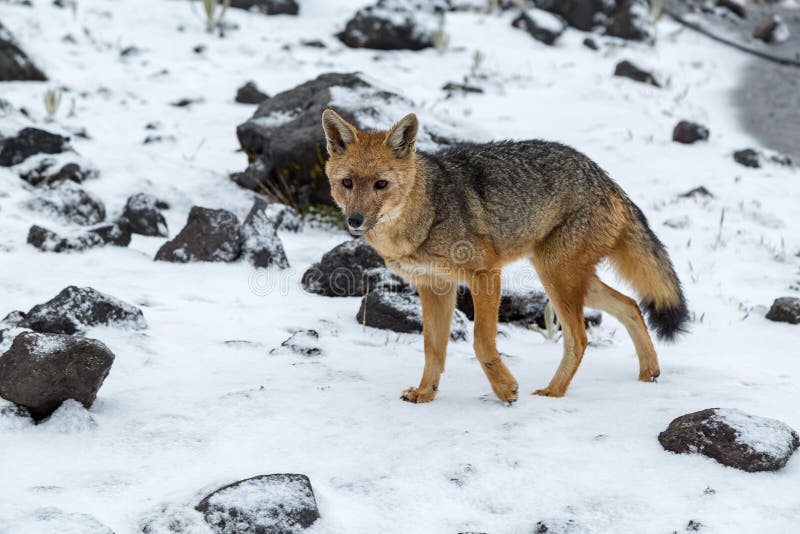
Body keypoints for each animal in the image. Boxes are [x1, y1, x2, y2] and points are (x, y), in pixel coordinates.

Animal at [321, 108, 689, 403]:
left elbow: (481, 343)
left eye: (381, 185)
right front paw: (425, 394)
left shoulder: (485, 275)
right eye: (348, 183)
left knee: (581, 338)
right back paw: (648, 373)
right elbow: (433, 351)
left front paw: (505, 389)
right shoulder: (435, 287)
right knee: (630, 305)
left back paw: (553, 392)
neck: (426, 214)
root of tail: (607, 178)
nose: (355, 220)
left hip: (557, 279)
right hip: (571, 281)